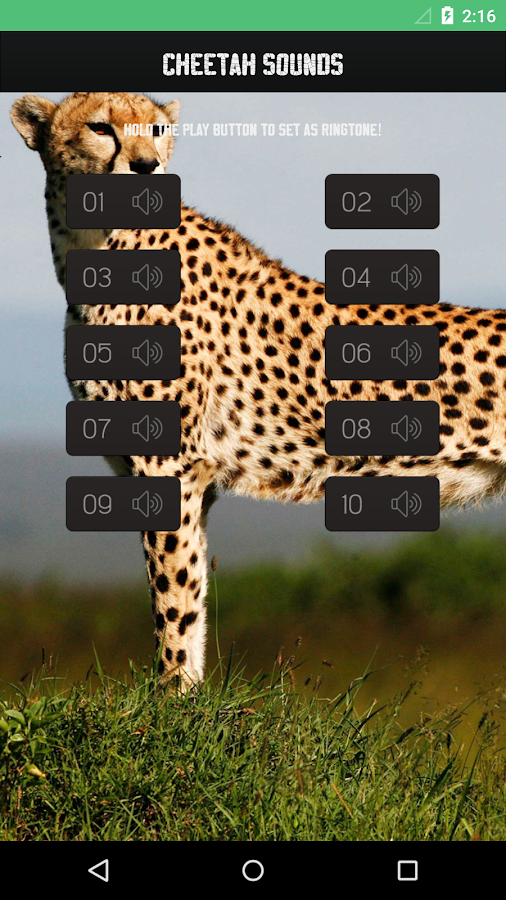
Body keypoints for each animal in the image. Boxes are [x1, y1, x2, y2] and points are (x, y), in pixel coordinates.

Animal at [11, 90, 506, 687]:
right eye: (101, 128)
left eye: (155, 130)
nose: (147, 166)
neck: (93, 249)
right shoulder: (189, 476)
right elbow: (192, 592)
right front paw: (188, 697)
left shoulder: (169, 466)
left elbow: (172, 599)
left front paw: (170, 697)